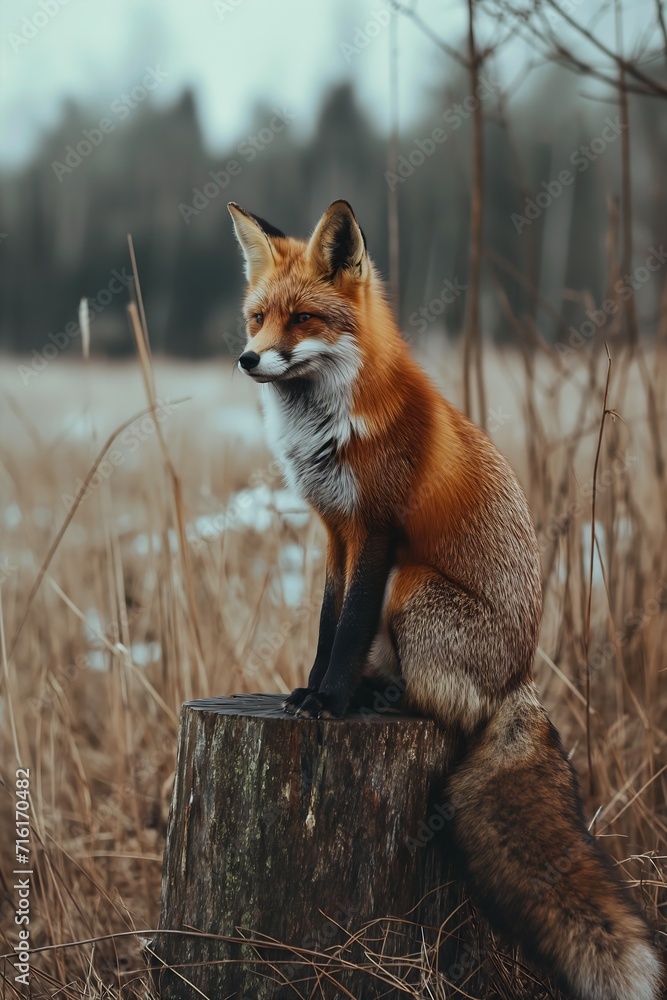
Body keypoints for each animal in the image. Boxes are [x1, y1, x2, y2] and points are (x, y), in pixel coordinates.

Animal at [228, 198, 663, 1000]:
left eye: (302, 319)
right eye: (257, 318)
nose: (248, 359)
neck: (332, 425)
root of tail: (520, 678)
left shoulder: (378, 534)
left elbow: (347, 628)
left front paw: (330, 703)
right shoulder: (334, 533)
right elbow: (326, 625)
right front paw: (308, 692)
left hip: (415, 585)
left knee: (446, 708)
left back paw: (384, 698)